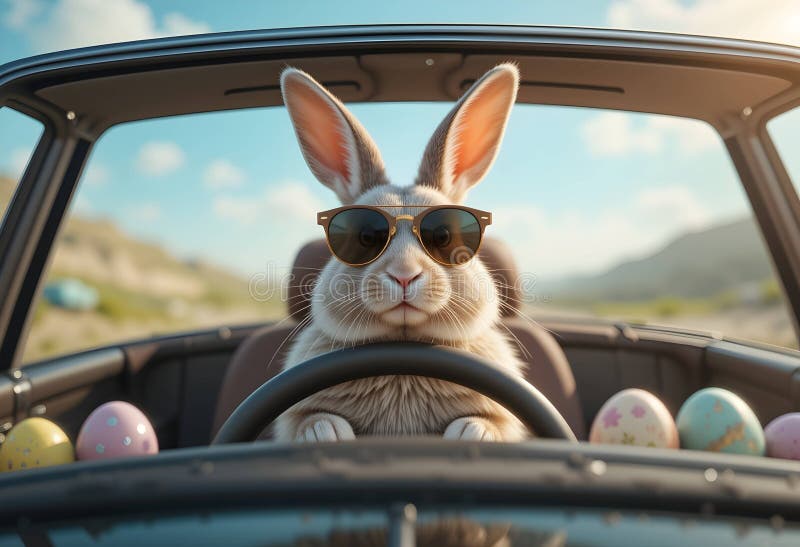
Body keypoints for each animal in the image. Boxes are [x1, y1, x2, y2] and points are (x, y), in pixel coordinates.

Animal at [275, 63, 528, 443]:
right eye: (364, 236)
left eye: (444, 235)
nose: (405, 276)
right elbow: (307, 419)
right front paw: (325, 433)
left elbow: (493, 423)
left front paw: (472, 433)